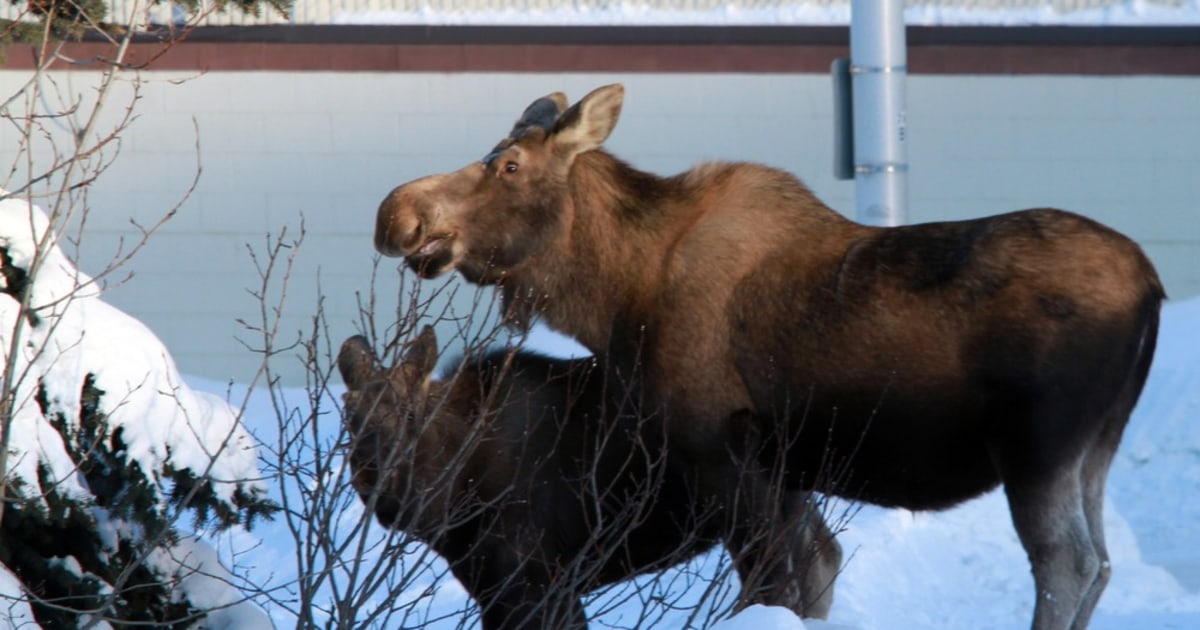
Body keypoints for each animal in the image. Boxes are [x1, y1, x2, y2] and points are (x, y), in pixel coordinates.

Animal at [337, 327, 842, 630]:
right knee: (822, 560)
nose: (377, 485)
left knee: (782, 585)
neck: (453, 499)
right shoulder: (493, 586)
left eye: (410, 414)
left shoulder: (535, 579)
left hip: (750, 507)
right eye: (350, 419)